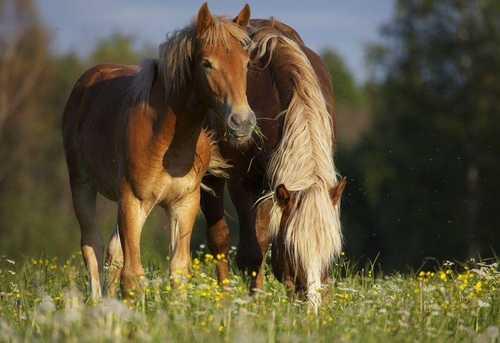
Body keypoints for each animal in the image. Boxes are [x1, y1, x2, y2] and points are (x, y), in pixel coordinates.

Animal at [63, 2, 256, 300]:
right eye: (207, 63)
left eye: (246, 63)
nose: (242, 122)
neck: (167, 139)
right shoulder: (132, 200)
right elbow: (132, 276)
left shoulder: (184, 204)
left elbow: (178, 271)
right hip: (83, 185)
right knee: (91, 245)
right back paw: (96, 302)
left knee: (112, 251)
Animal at [201, 18, 346, 310]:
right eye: (292, 250)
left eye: (332, 252)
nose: (312, 308)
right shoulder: (243, 182)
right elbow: (251, 253)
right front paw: (254, 306)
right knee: (219, 240)